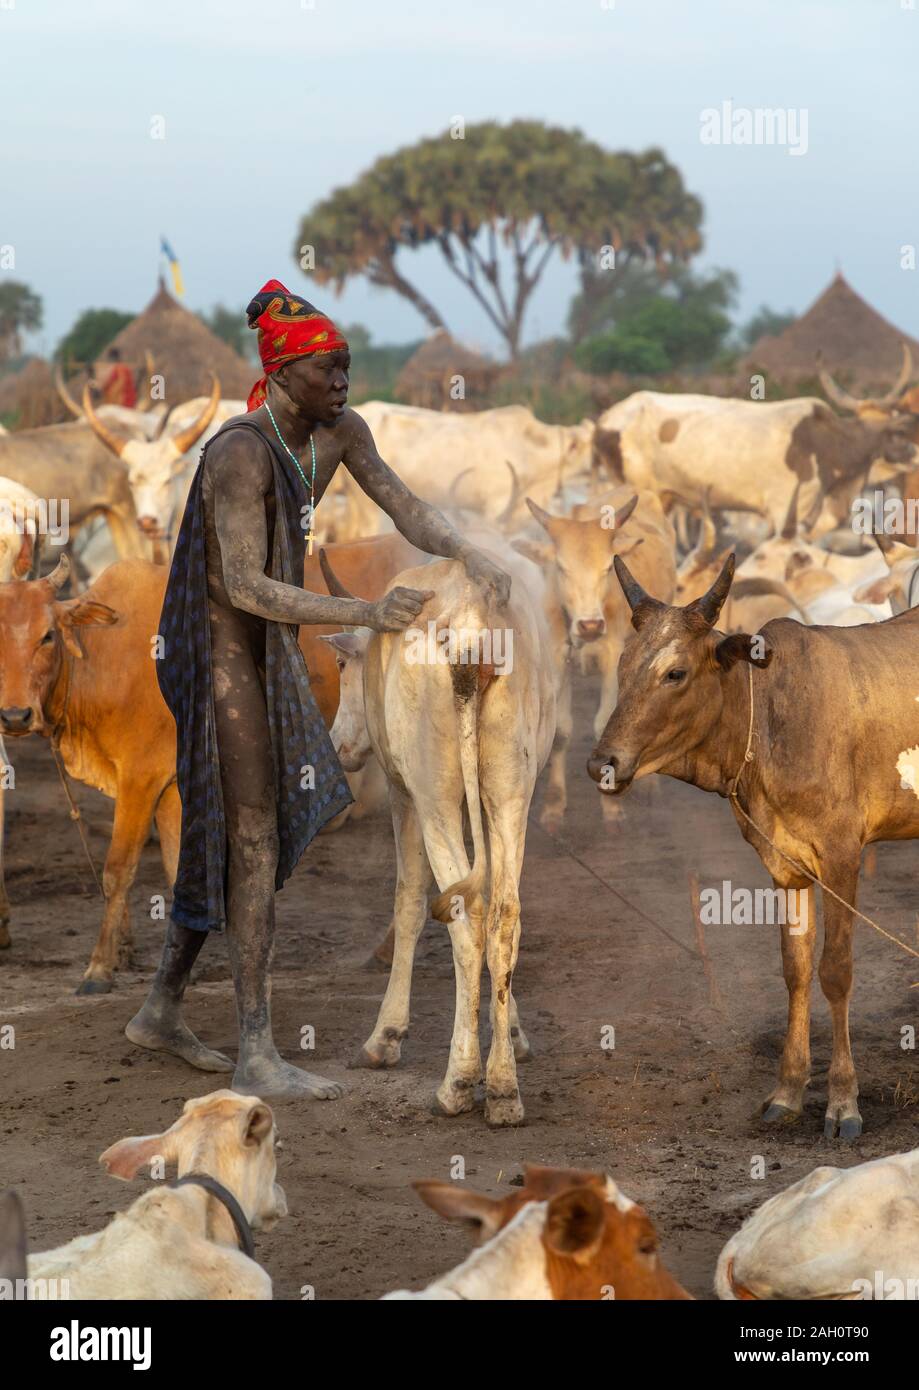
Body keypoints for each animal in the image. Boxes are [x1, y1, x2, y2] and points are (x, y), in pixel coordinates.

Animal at [0, 556, 180, 993]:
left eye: (48, 636)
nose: (15, 716)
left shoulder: (142, 779)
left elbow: (118, 870)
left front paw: (99, 968)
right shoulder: (170, 787)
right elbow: (175, 868)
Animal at [322, 540, 555, 1126]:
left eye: (341, 664)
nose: (339, 746)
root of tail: (469, 624)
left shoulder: (403, 796)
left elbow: (407, 902)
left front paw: (384, 1037)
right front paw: (515, 1031)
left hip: (434, 800)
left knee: (463, 922)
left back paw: (460, 1082)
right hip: (510, 793)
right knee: (502, 917)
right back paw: (504, 1089)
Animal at [519, 487, 676, 829]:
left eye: (607, 569)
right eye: (562, 568)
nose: (590, 626)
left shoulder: (611, 658)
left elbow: (604, 722)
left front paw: (612, 809)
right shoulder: (557, 657)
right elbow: (562, 731)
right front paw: (553, 807)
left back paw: (651, 789)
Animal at [587, 552, 919, 1139]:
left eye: (675, 672)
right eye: (623, 666)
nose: (602, 763)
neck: (766, 716)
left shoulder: (842, 857)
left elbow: (835, 972)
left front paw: (843, 1102)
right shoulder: (787, 867)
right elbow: (795, 970)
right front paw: (787, 1092)